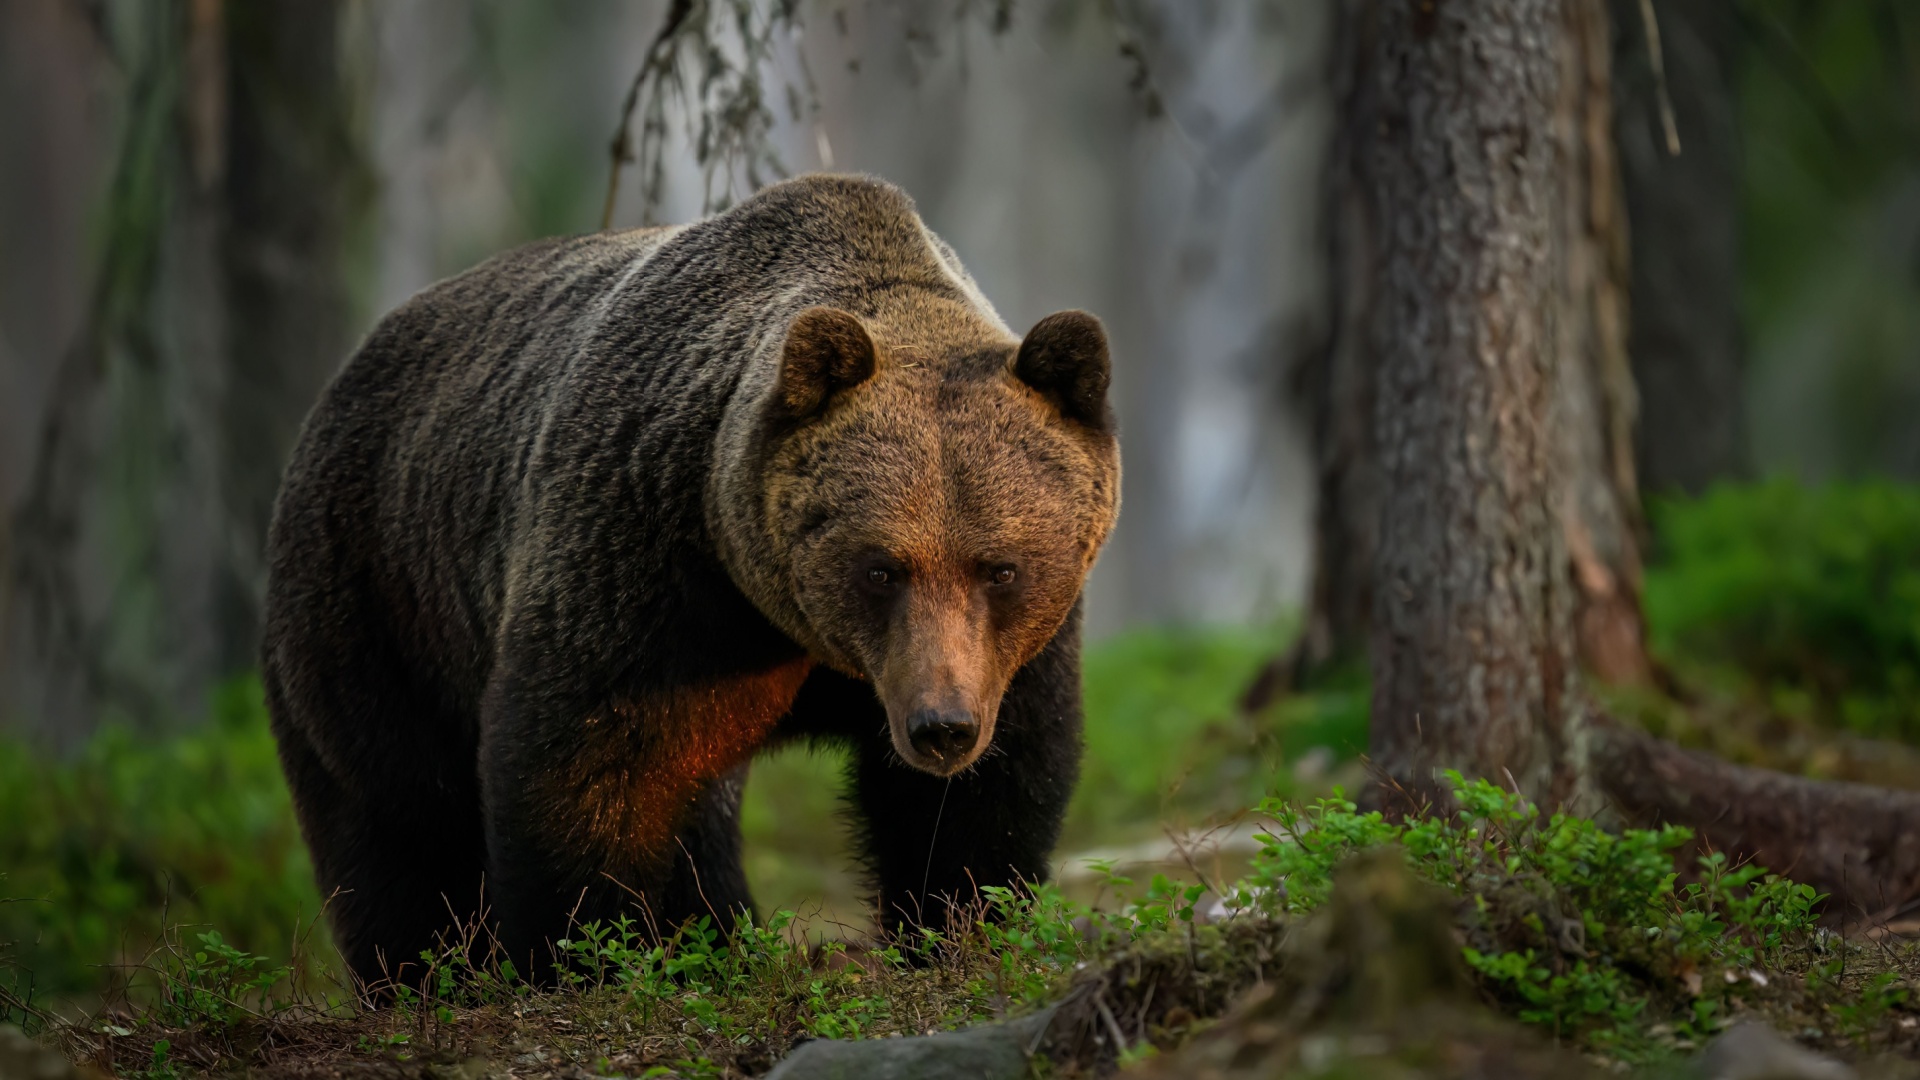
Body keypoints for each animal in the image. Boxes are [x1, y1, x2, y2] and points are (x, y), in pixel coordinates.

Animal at [261, 173, 1121, 987]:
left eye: (1000, 567)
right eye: (881, 567)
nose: (940, 726)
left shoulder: (1011, 654)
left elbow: (984, 793)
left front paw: (960, 926)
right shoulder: (646, 570)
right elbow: (592, 766)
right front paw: (592, 954)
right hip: (375, 598)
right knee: (398, 817)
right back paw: (428, 973)